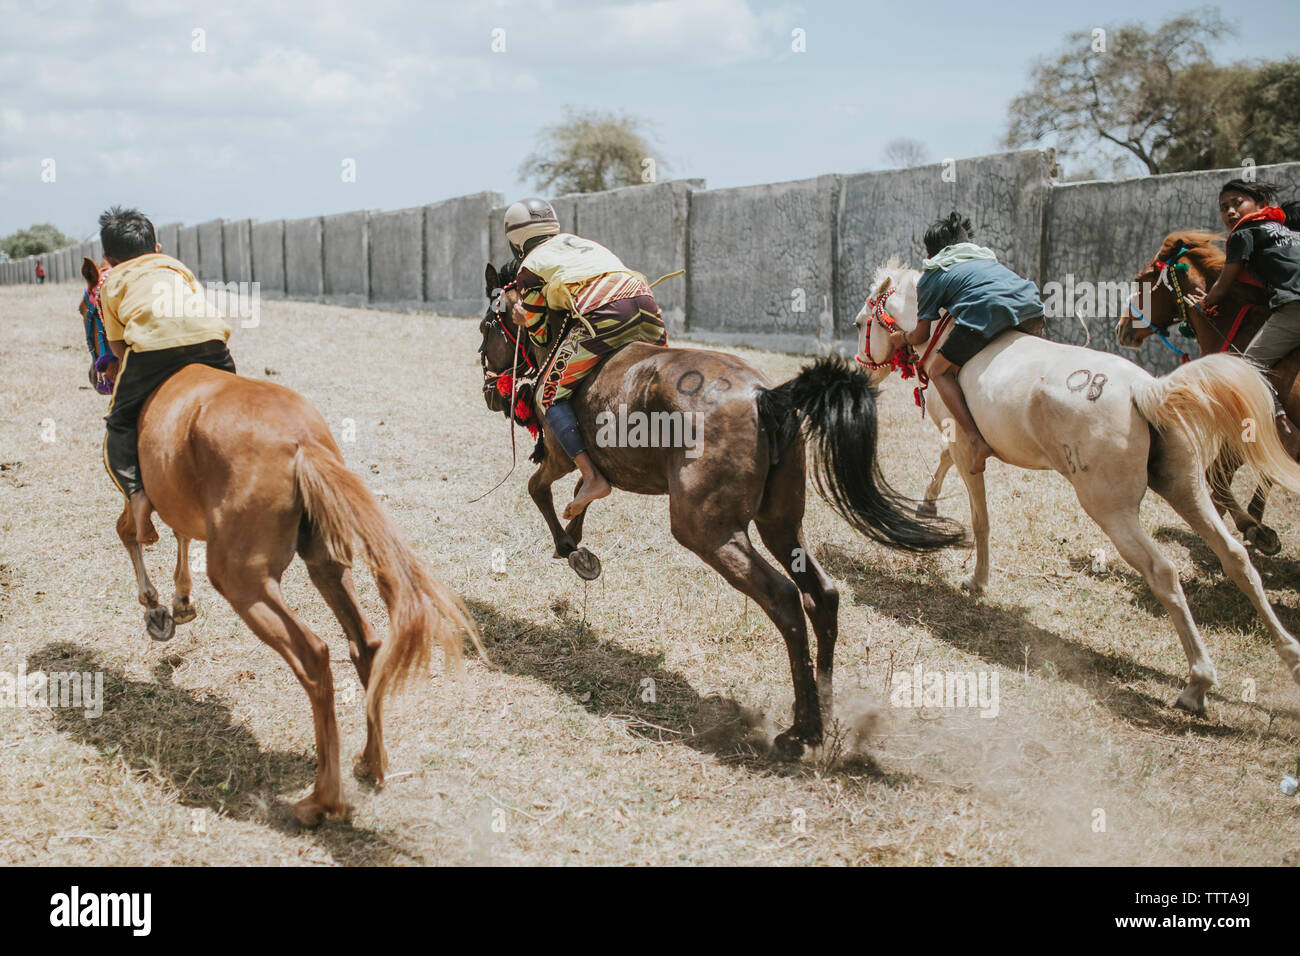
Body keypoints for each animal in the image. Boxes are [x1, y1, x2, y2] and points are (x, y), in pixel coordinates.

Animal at [79, 258, 480, 825]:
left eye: (86, 309)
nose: (98, 374)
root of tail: (302, 442)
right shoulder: (181, 502)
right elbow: (176, 535)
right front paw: (178, 602)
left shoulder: (142, 493)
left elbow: (132, 532)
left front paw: (158, 609)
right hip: (325, 563)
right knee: (366, 645)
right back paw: (371, 764)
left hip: (244, 581)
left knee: (314, 656)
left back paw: (321, 800)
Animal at [478, 260, 966, 758]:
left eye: (486, 327)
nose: (490, 386)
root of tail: (766, 396)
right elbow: (583, 493)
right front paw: (579, 547)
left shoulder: (559, 454)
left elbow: (540, 489)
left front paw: (566, 545)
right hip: (781, 523)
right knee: (821, 594)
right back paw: (824, 715)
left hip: (705, 531)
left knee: (784, 599)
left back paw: (801, 731)